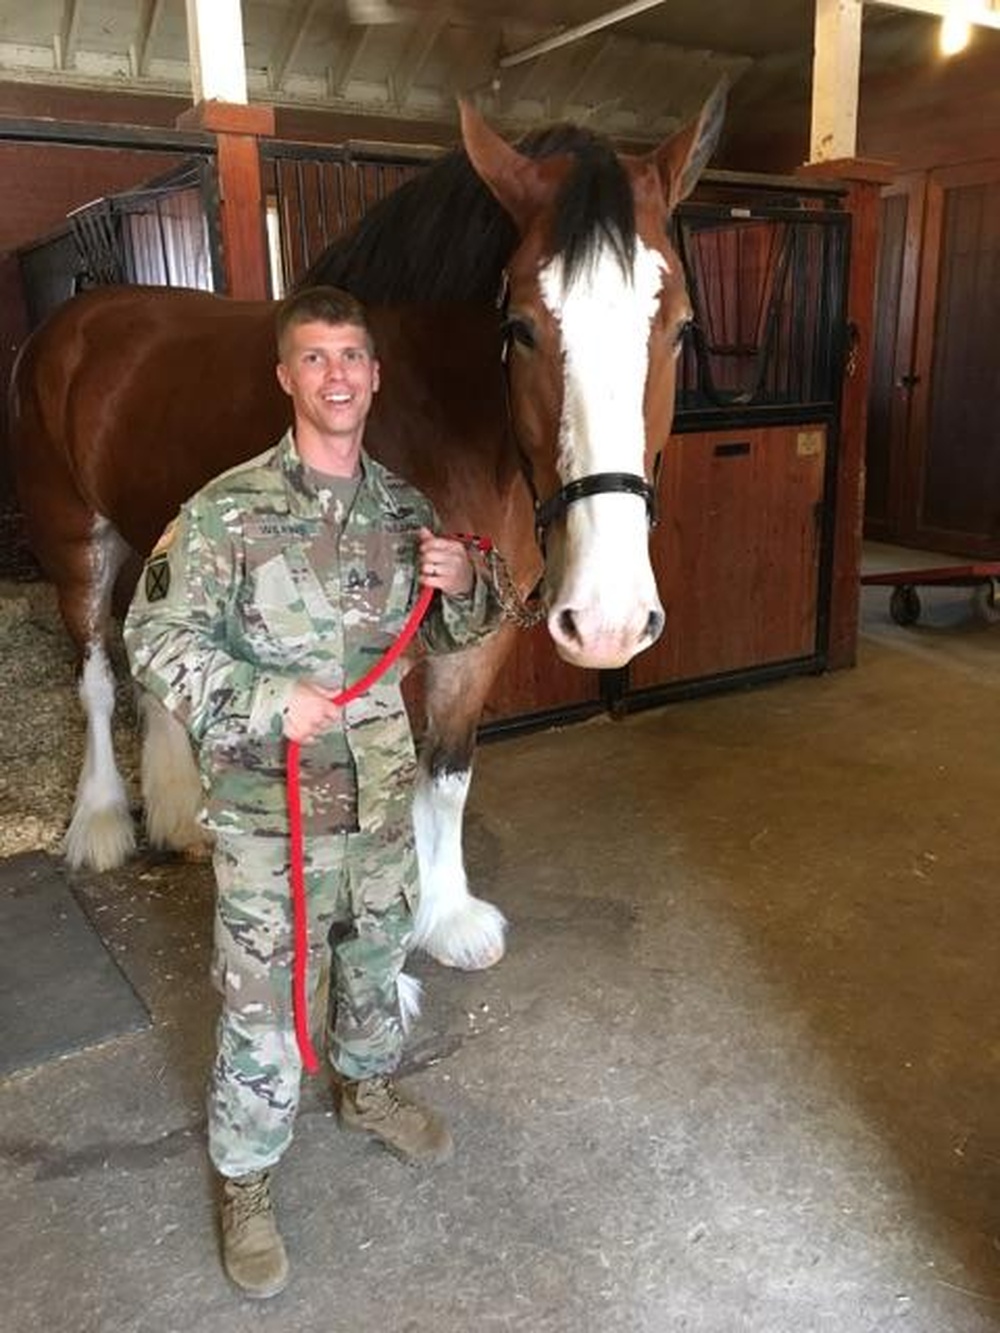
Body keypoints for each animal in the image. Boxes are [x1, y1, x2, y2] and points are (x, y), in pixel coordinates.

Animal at [8, 87, 725, 971]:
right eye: (520, 325)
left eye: (681, 327)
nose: (608, 622)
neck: (431, 413)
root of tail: (74, 321)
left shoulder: (477, 631)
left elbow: (445, 772)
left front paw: (446, 916)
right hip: (77, 543)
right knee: (99, 679)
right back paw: (103, 819)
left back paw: (176, 816)